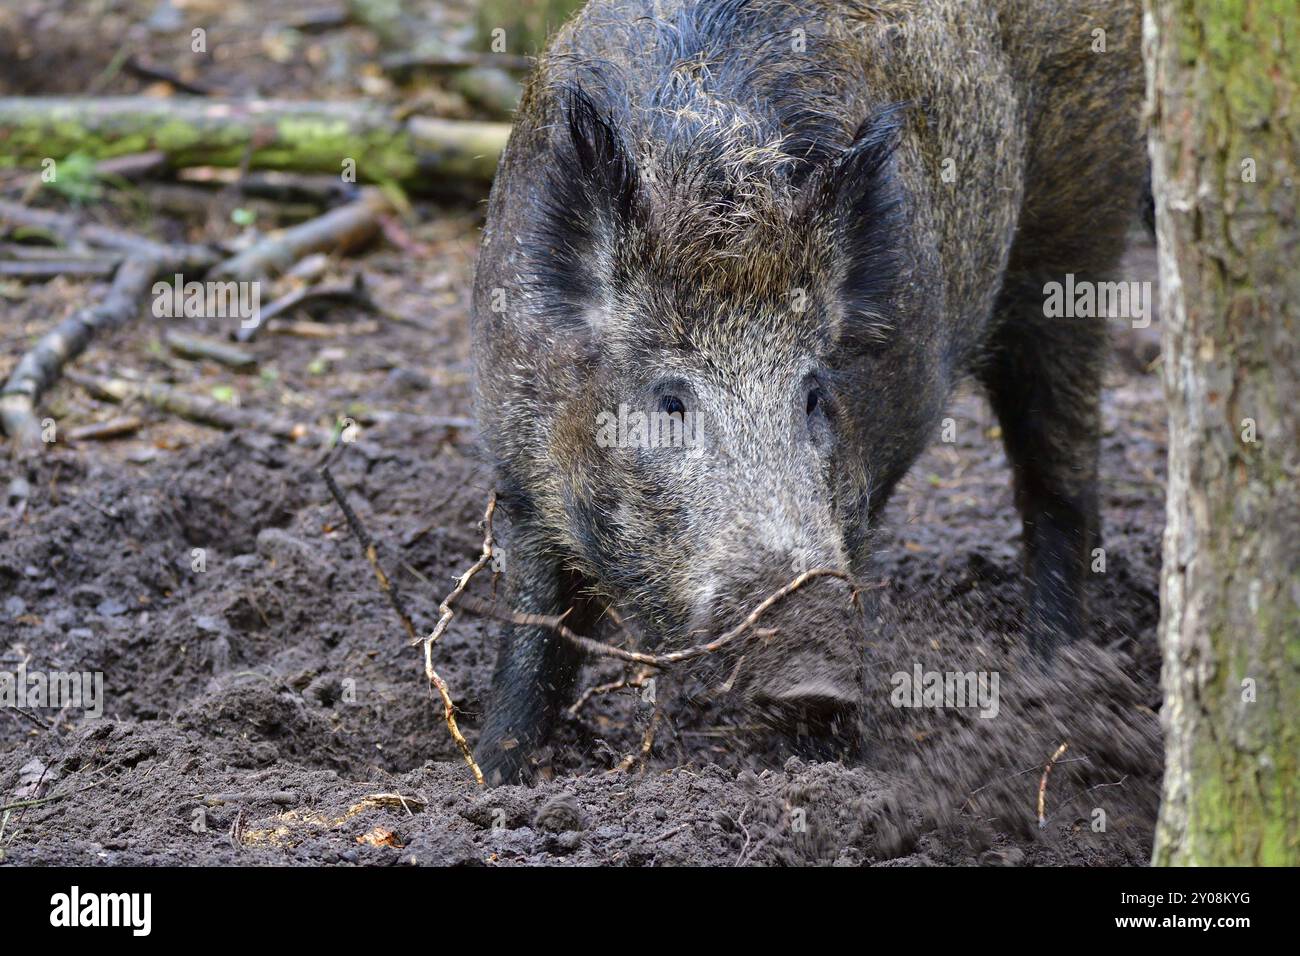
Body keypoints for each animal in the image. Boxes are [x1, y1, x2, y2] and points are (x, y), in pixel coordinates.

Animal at [469, 0, 1147, 784]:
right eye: (670, 401)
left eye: (814, 395)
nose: (809, 664)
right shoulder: (515, 449)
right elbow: (536, 625)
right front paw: (493, 773)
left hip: (1078, 236)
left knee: (1060, 472)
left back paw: (1051, 677)